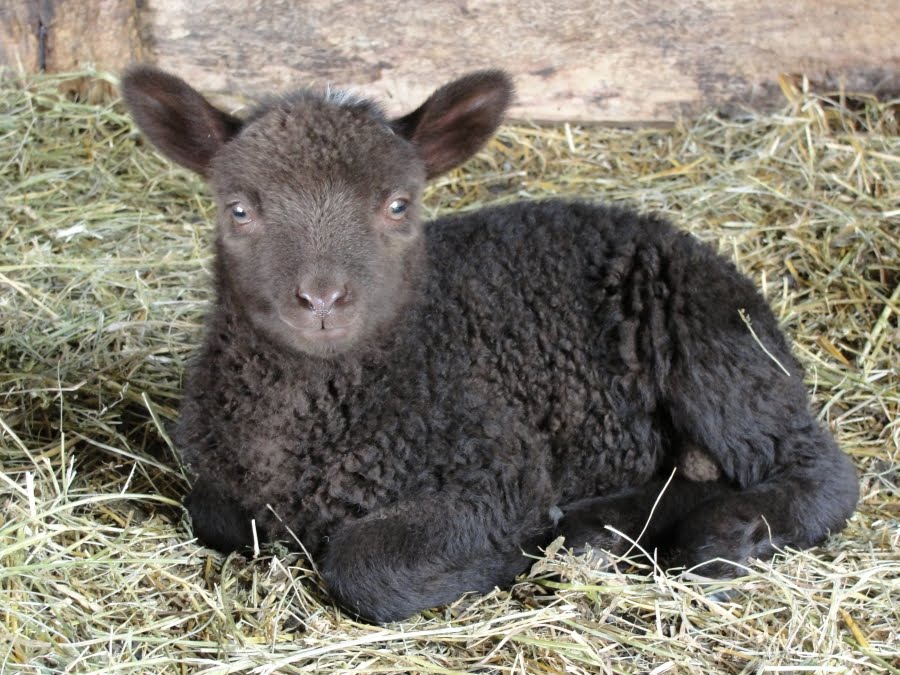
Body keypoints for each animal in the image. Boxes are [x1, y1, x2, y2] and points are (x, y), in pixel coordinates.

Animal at [120, 65, 859, 623]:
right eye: (239, 209)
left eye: (399, 205)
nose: (324, 300)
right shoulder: (222, 481)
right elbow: (214, 515)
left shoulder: (499, 467)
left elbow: (364, 564)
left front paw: (507, 554)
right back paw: (604, 531)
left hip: (707, 347)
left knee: (819, 469)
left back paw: (720, 533)